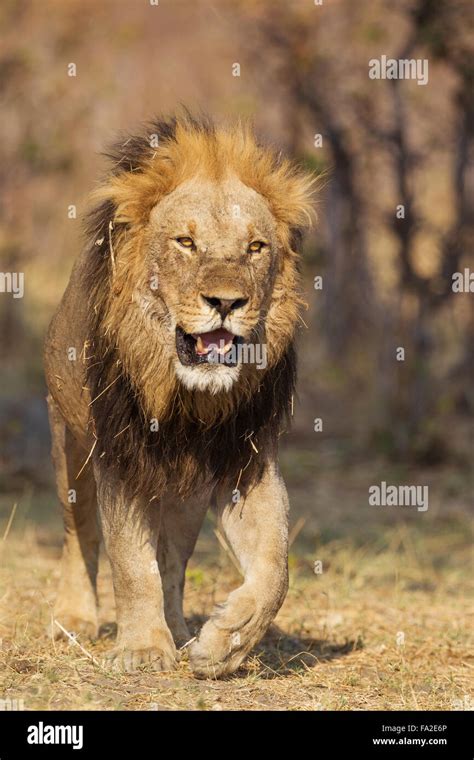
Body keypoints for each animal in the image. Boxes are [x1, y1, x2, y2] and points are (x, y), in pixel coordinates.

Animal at [44, 114, 316, 677]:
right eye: (185, 242)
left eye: (256, 247)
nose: (227, 302)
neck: (188, 399)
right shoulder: (118, 459)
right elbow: (130, 562)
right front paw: (143, 649)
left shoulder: (245, 460)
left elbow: (274, 567)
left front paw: (226, 642)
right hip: (69, 445)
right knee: (80, 535)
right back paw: (75, 619)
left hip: (184, 495)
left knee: (172, 561)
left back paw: (180, 629)